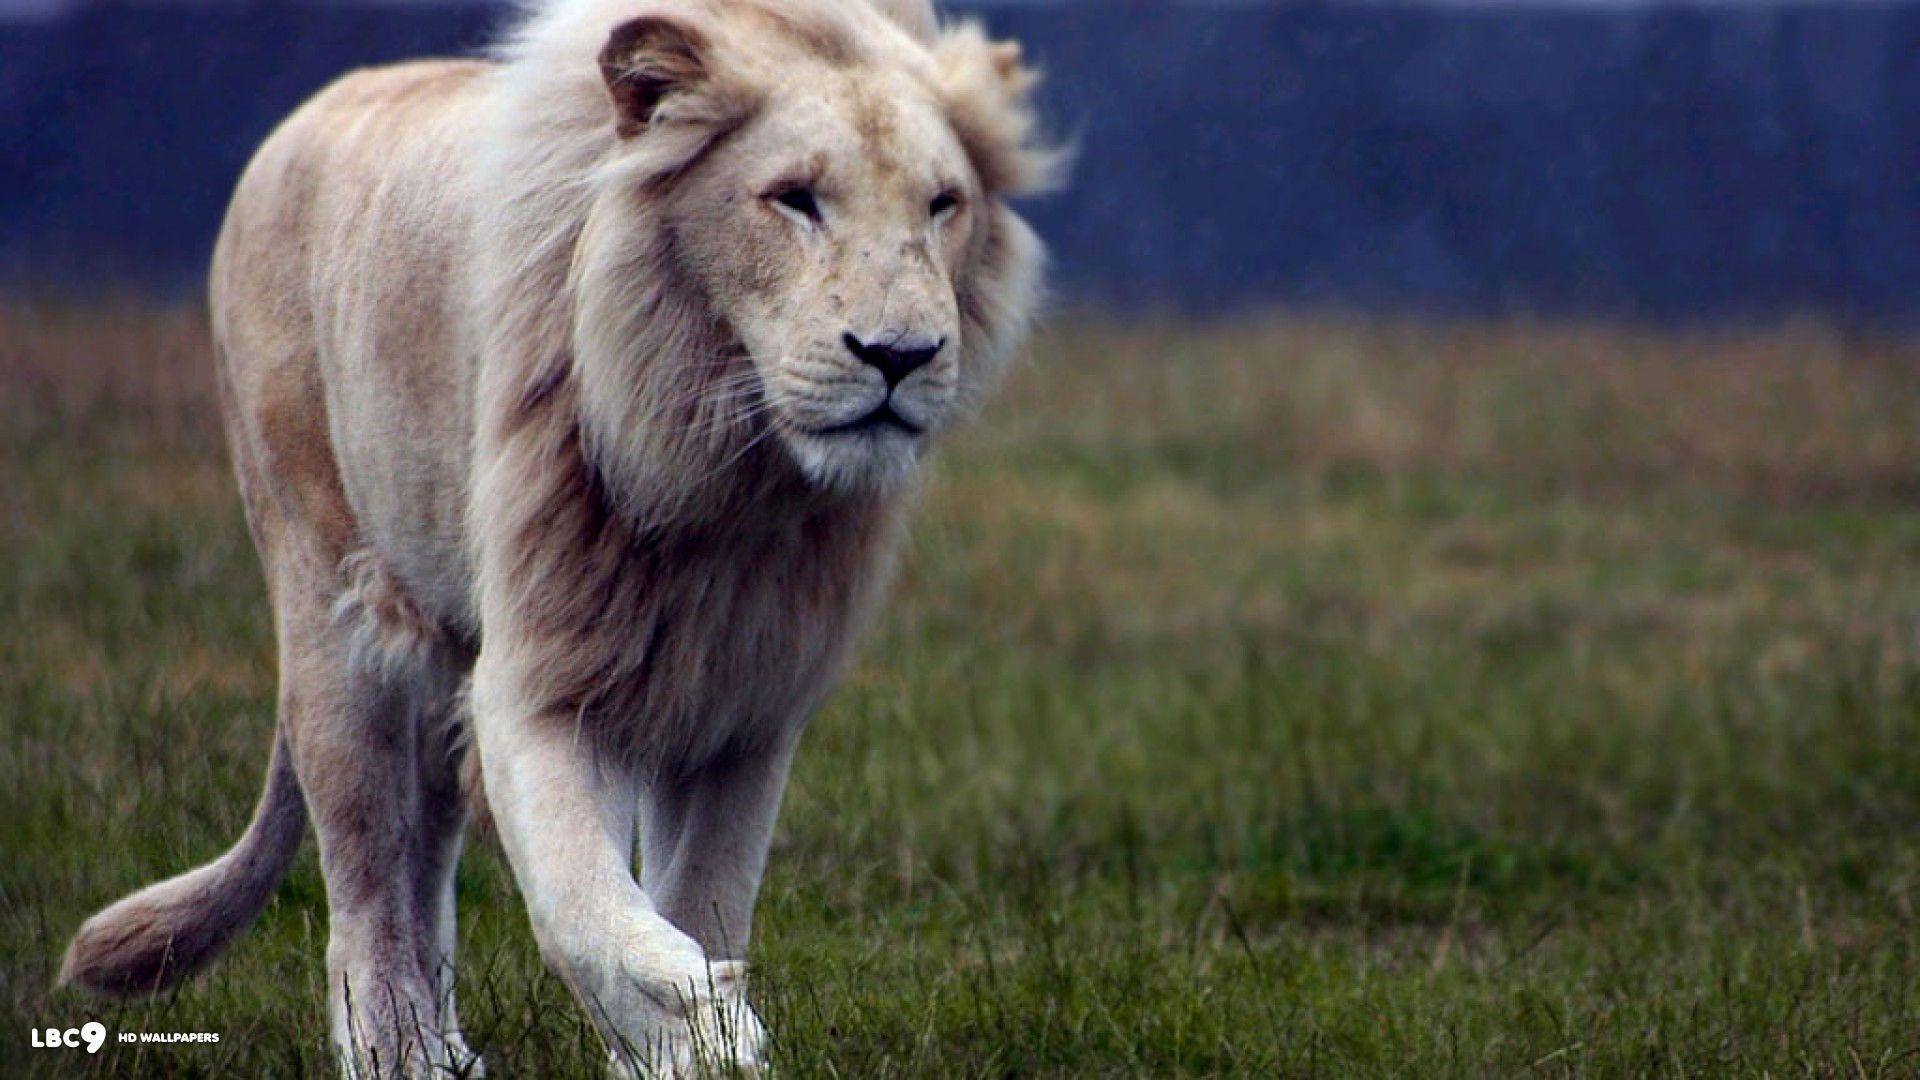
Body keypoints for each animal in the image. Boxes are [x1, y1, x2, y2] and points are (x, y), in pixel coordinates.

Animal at [57, 0, 1053, 1073]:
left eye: (942, 205)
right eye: (795, 200)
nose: (901, 356)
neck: (724, 472)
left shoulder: (748, 700)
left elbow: (708, 892)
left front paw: (690, 1039)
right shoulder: (545, 674)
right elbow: (584, 902)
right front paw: (693, 1013)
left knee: (424, 846)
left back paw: (445, 1045)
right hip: (330, 601)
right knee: (364, 874)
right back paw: (398, 1052)